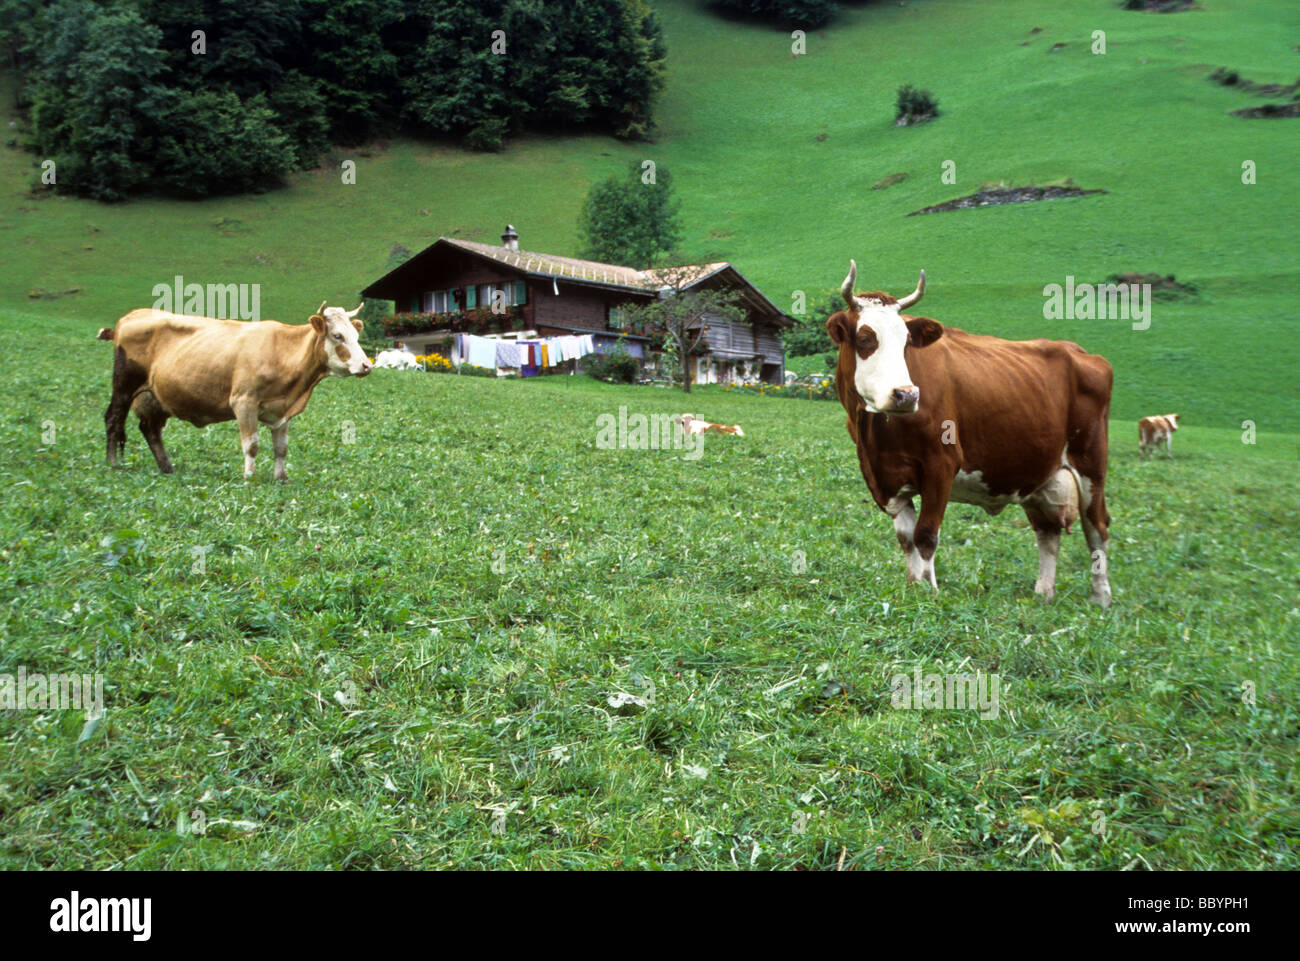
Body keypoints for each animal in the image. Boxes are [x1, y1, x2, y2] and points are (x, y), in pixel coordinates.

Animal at [98, 302, 372, 482]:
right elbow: (251, 445)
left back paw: (167, 468)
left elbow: (281, 448)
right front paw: (250, 477)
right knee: (114, 418)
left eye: (356, 334)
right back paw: (113, 464)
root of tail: (132, 316)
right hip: (124, 385)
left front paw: (280, 478)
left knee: (150, 429)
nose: (367, 365)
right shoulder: (244, 402)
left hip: (154, 397)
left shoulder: (282, 411)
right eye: (337, 335)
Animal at [827, 260, 1114, 606]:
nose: (906, 395)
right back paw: (1043, 593)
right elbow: (906, 538)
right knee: (1047, 533)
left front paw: (930, 592)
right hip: (1038, 471)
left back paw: (1100, 598)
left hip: (1091, 464)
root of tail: (1077, 350)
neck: (877, 434)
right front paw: (913, 587)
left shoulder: (941, 463)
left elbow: (925, 534)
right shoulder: (881, 475)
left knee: (1097, 528)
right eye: (865, 338)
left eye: (906, 343)